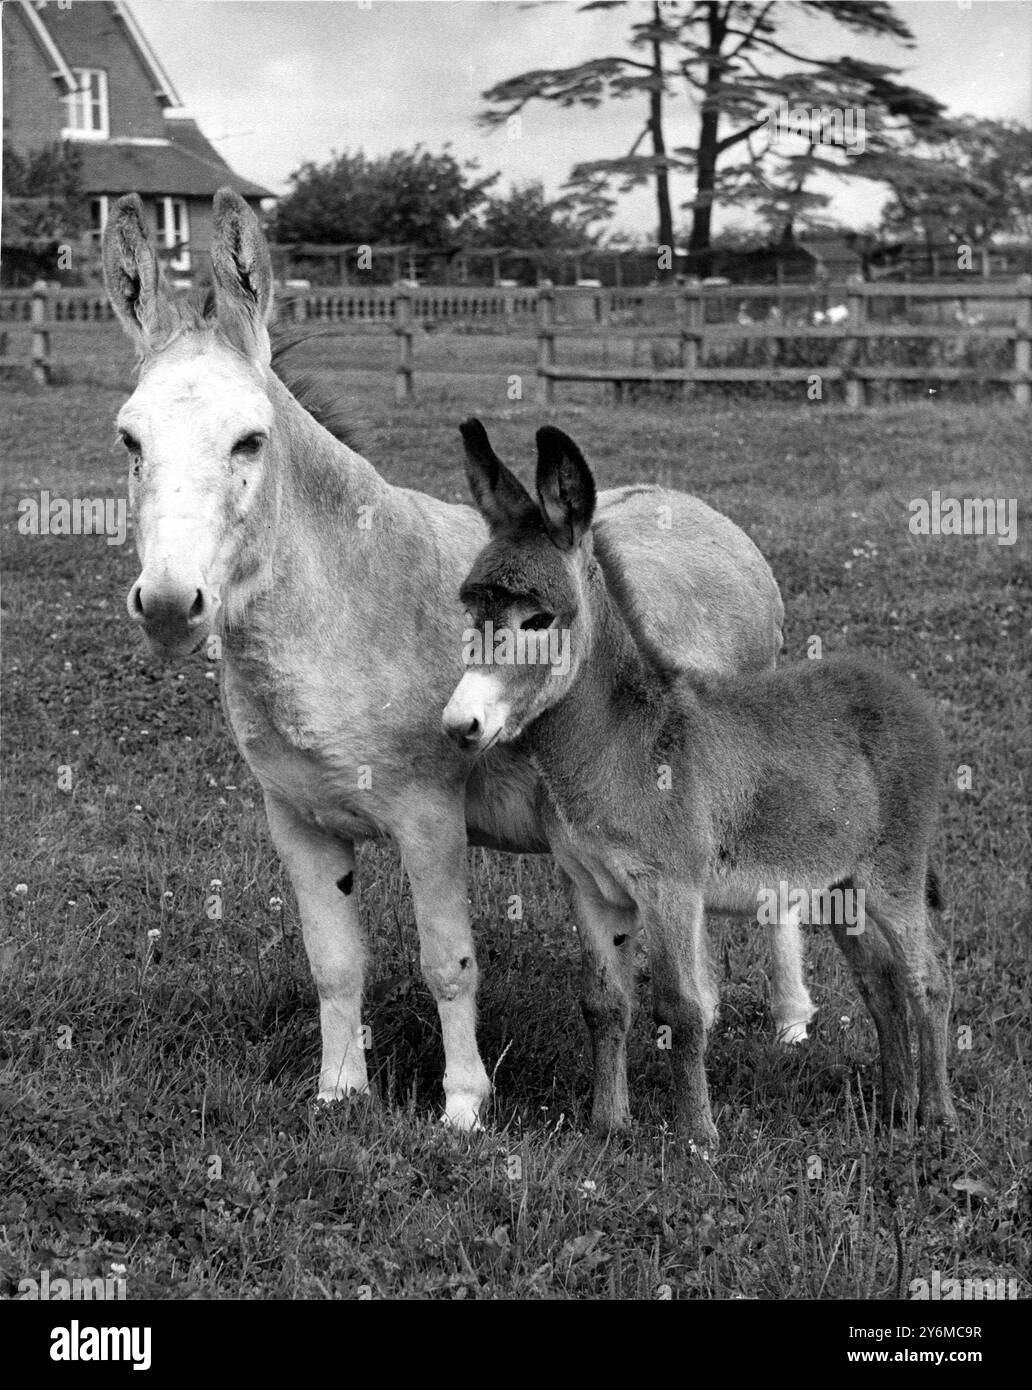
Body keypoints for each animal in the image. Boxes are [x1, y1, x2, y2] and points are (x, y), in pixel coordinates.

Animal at [102, 186, 798, 1130]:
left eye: (249, 441)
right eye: (130, 442)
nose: (173, 606)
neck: (334, 616)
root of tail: (708, 517)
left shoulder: (429, 816)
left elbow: (449, 964)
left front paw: (465, 1107)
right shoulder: (299, 822)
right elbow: (334, 964)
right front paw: (339, 1091)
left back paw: (794, 1024)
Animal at [443, 420, 957, 1147]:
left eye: (538, 621)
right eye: (471, 612)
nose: (460, 725)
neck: (621, 741)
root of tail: (902, 691)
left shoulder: (673, 888)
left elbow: (682, 1009)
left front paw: (698, 1140)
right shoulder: (591, 888)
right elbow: (603, 1003)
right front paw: (608, 1126)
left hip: (894, 871)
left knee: (927, 976)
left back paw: (937, 1116)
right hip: (839, 884)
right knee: (882, 981)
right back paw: (895, 1111)